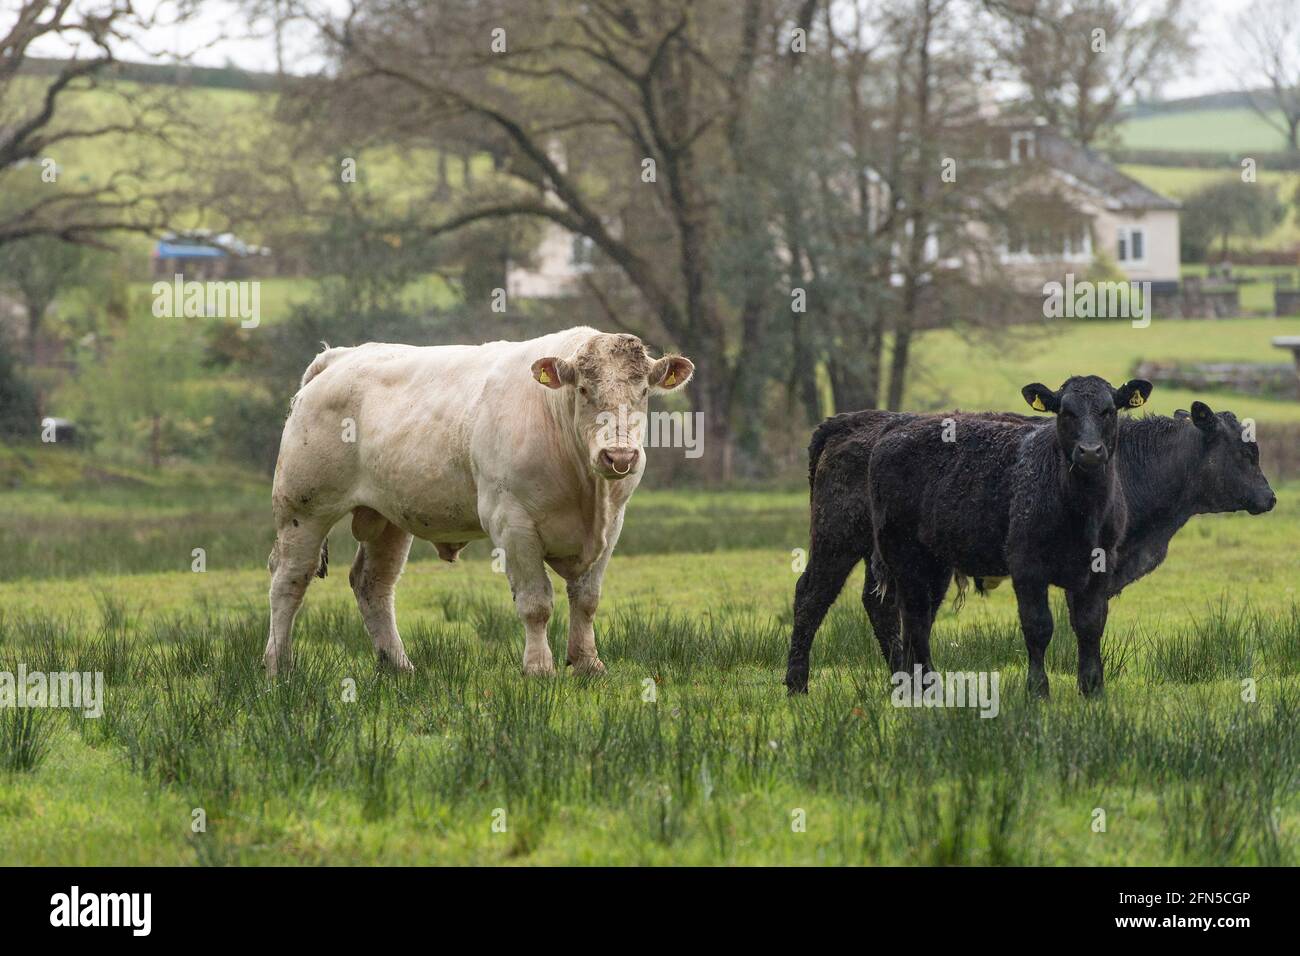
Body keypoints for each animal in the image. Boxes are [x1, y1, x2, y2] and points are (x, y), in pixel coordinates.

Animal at [264, 327, 694, 678]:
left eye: (643, 392)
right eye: (585, 390)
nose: (619, 456)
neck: (587, 492)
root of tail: (340, 356)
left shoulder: (612, 524)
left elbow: (587, 599)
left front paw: (589, 664)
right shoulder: (512, 522)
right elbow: (536, 603)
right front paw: (539, 668)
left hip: (388, 519)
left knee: (373, 585)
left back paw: (400, 666)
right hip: (303, 508)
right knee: (289, 581)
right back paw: (278, 666)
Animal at [783, 399, 1275, 694]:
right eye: (1246, 452)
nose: (1269, 497)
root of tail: (849, 422)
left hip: (911, 562)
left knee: (891, 608)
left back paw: (907, 682)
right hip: (839, 541)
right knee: (812, 597)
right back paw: (797, 683)